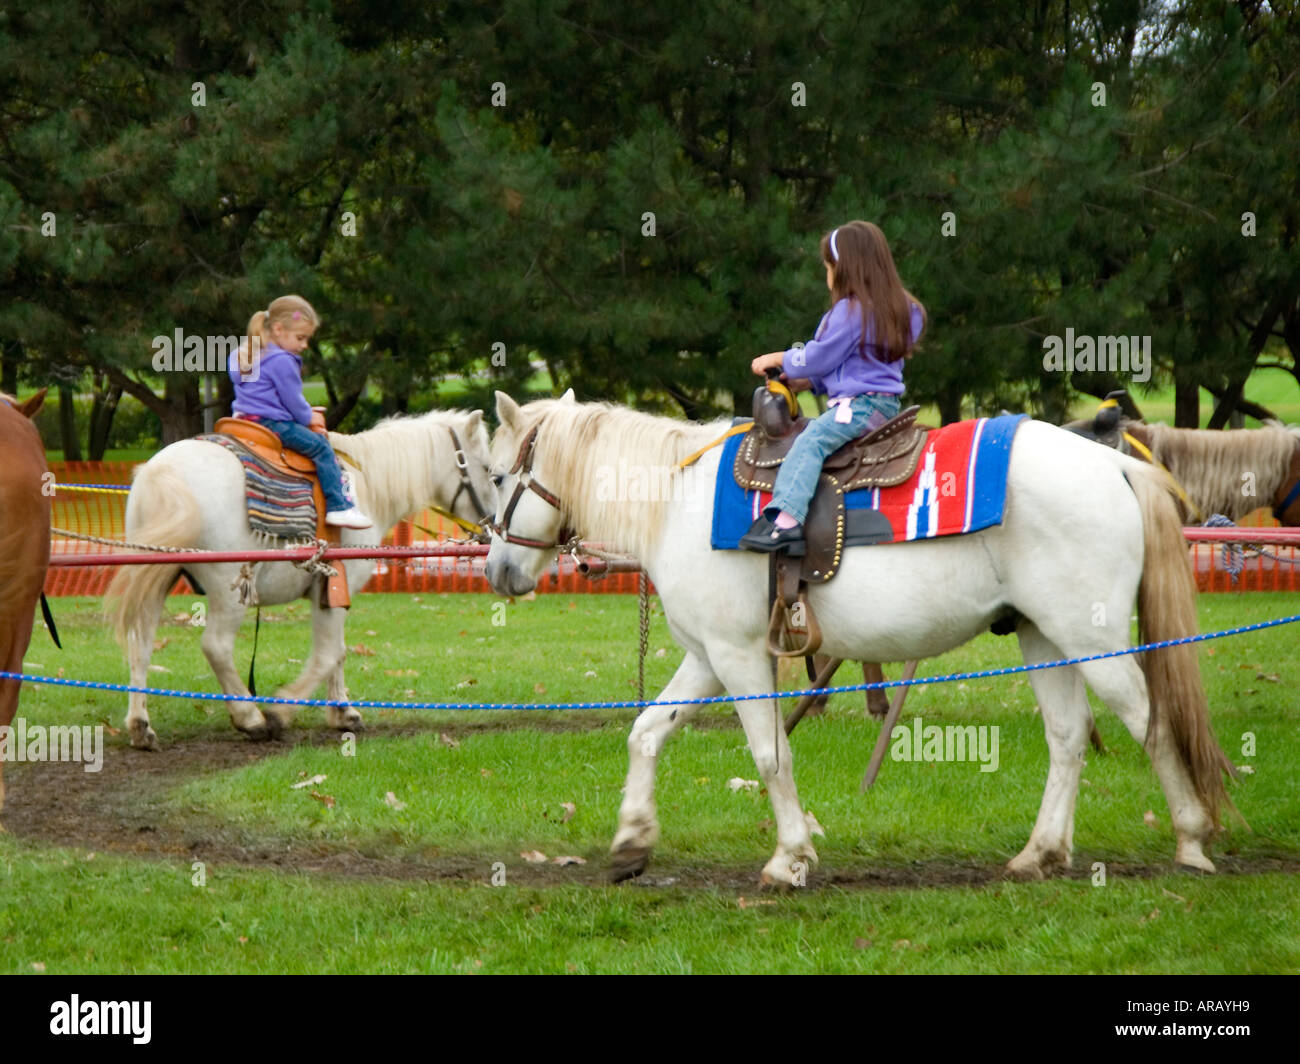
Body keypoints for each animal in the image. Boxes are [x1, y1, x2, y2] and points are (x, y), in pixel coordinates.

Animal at [105, 409, 494, 750]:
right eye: (490, 470)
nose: (492, 528)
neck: (367, 483)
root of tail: (162, 473)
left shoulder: (332, 595)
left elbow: (337, 653)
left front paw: (343, 713)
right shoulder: (334, 590)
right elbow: (328, 654)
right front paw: (283, 710)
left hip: (156, 578)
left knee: (141, 643)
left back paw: (141, 726)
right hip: (229, 589)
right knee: (216, 646)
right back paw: (251, 718)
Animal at [484, 391, 1236, 886]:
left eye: (495, 475)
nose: (496, 571)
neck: (675, 501)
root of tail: (1115, 467)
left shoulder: (737, 656)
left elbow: (770, 755)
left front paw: (789, 859)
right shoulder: (708, 656)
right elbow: (647, 731)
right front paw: (632, 842)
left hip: (1093, 639)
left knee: (1152, 722)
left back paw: (1190, 841)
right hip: (1045, 638)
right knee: (1069, 737)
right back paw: (1041, 853)